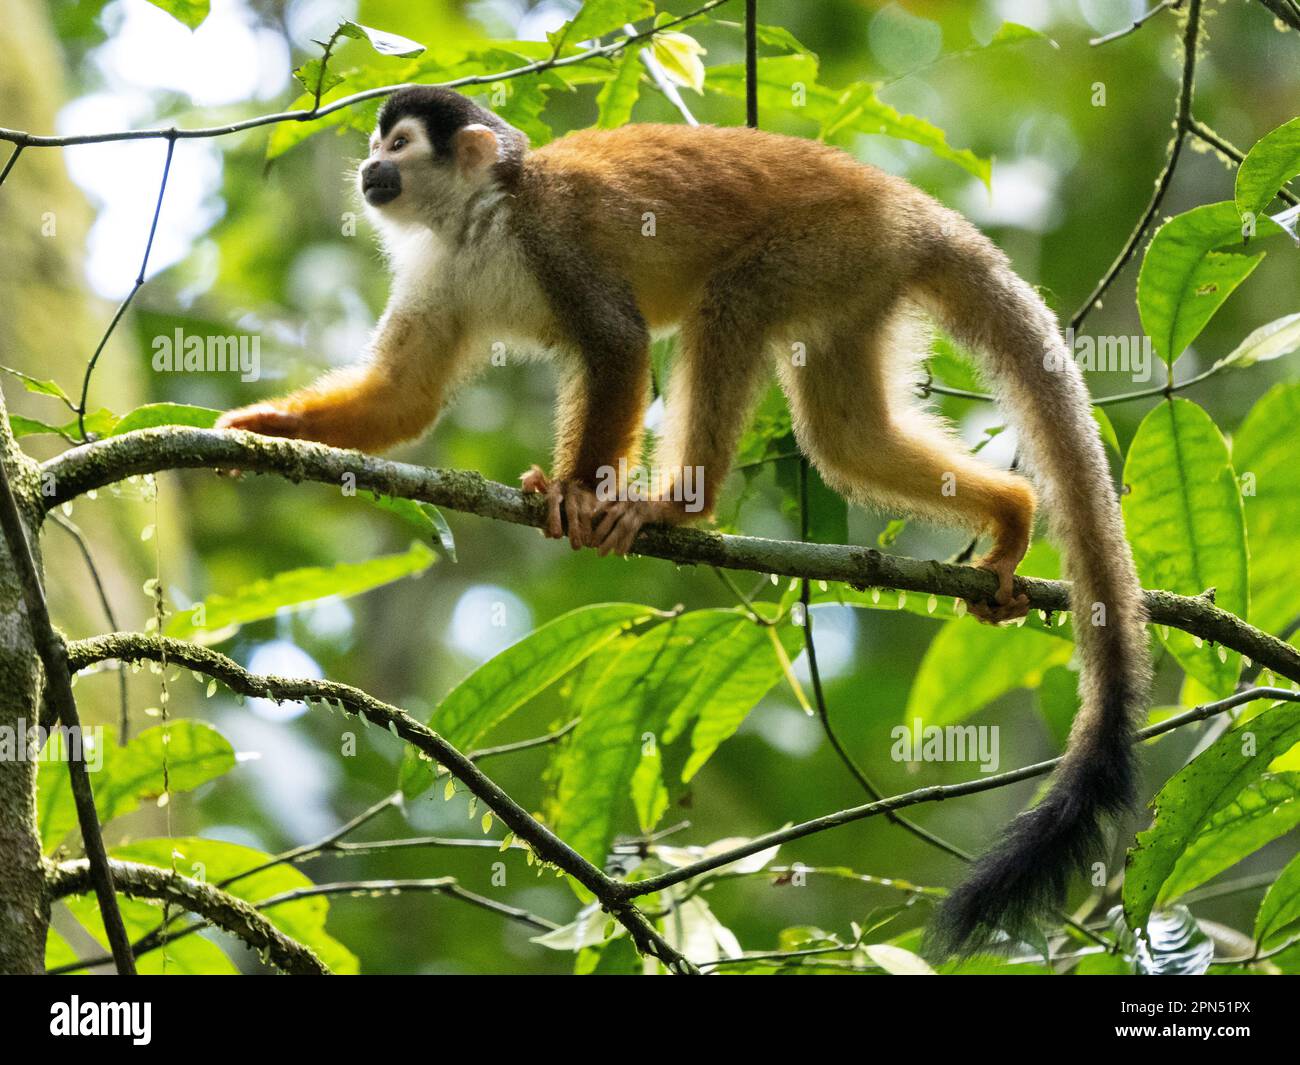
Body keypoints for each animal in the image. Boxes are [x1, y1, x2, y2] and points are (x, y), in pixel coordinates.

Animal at [216, 85, 1151, 955]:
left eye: (399, 145)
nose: (369, 172)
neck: (478, 219)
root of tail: (909, 204)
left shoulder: (550, 235)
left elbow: (616, 341)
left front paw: (576, 495)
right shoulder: (437, 270)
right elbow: (402, 399)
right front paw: (260, 431)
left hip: (831, 243)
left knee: (731, 303)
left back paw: (679, 503)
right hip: (859, 278)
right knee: (845, 436)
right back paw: (1012, 510)